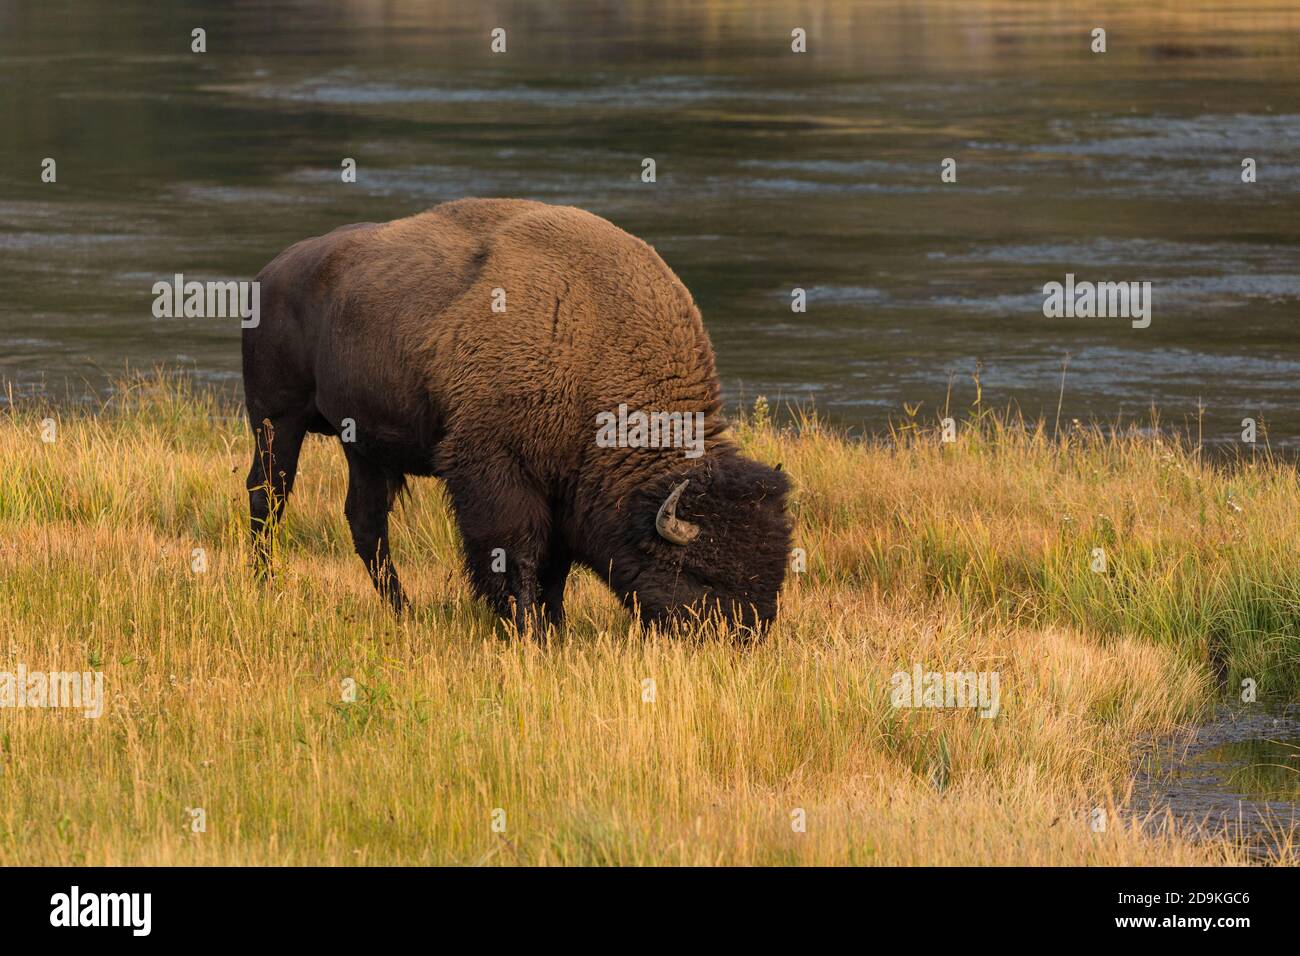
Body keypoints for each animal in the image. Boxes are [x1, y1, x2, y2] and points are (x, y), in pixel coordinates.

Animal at [243, 199, 792, 634]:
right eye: (702, 572)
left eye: (774, 571)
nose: (746, 634)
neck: (593, 345)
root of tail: (270, 274)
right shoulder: (497, 469)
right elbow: (518, 551)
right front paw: (526, 626)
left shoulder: (566, 487)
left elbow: (556, 565)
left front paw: (554, 623)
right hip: (277, 421)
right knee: (268, 495)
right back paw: (263, 586)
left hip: (364, 446)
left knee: (366, 522)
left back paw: (403, 610)